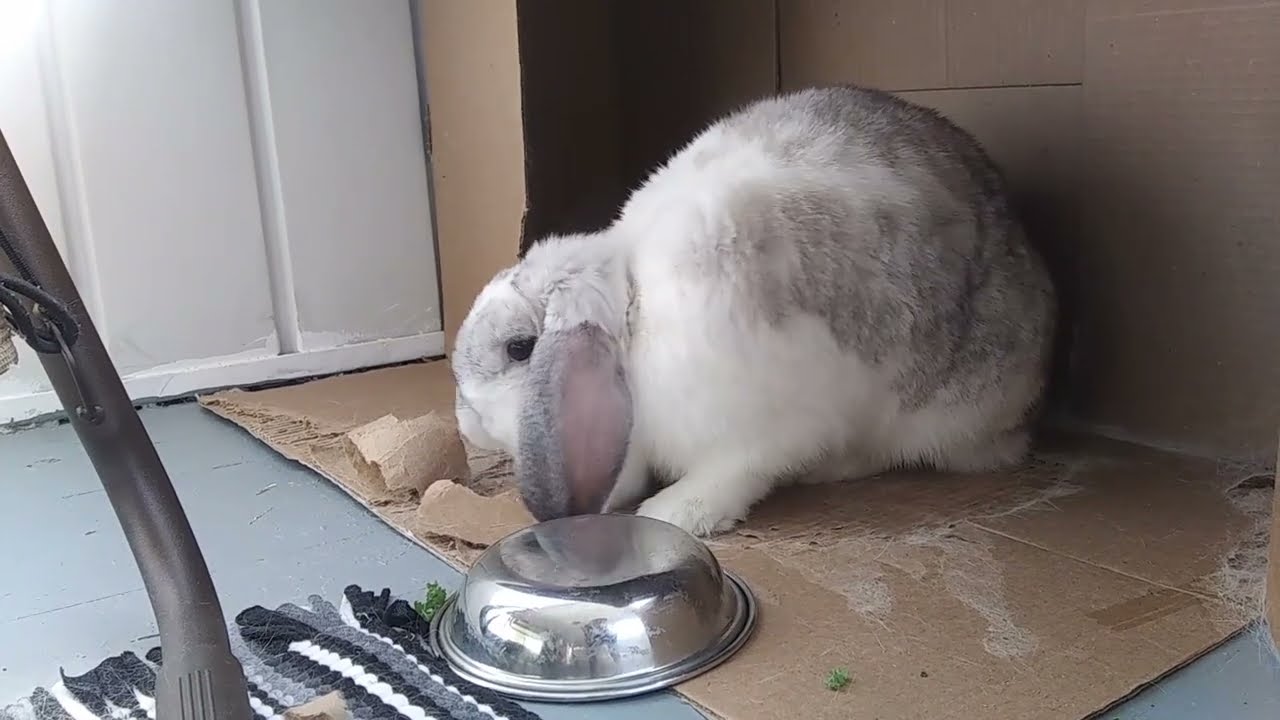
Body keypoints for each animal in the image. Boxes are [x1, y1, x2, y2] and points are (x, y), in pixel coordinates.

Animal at [450, 85, 1057, 538]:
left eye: (519, 348)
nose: (465, 423)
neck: (635, 314)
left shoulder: (766, 430)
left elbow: (738, 470)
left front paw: (677, 513)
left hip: (934, 412)